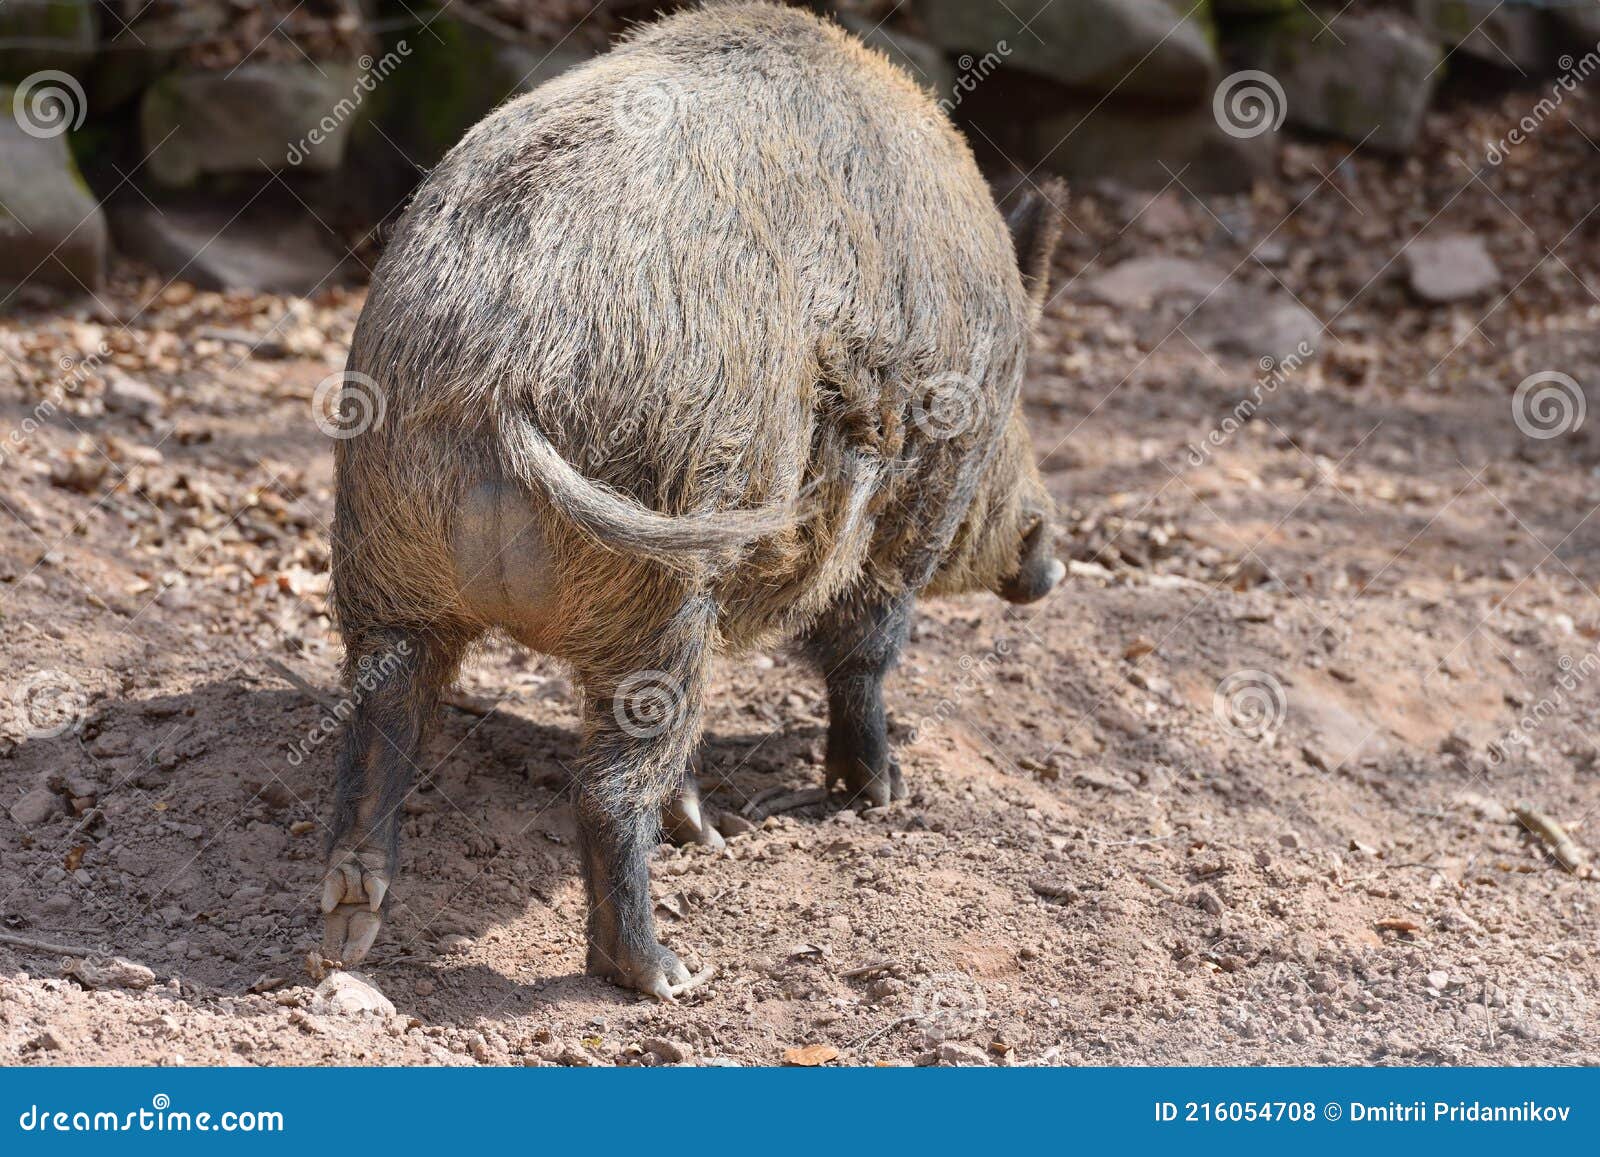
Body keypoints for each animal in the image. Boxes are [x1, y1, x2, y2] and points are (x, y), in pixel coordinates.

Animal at [320, 1, 1066, 999]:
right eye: (1021, 412)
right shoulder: (911, 511)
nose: (1050, 560)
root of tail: (493, 380)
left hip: (386, 556)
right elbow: (865, 650)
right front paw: (883, 795)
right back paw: (668, 972)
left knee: (383, 720)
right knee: (608, 781)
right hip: (664, 579)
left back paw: (347, 933)